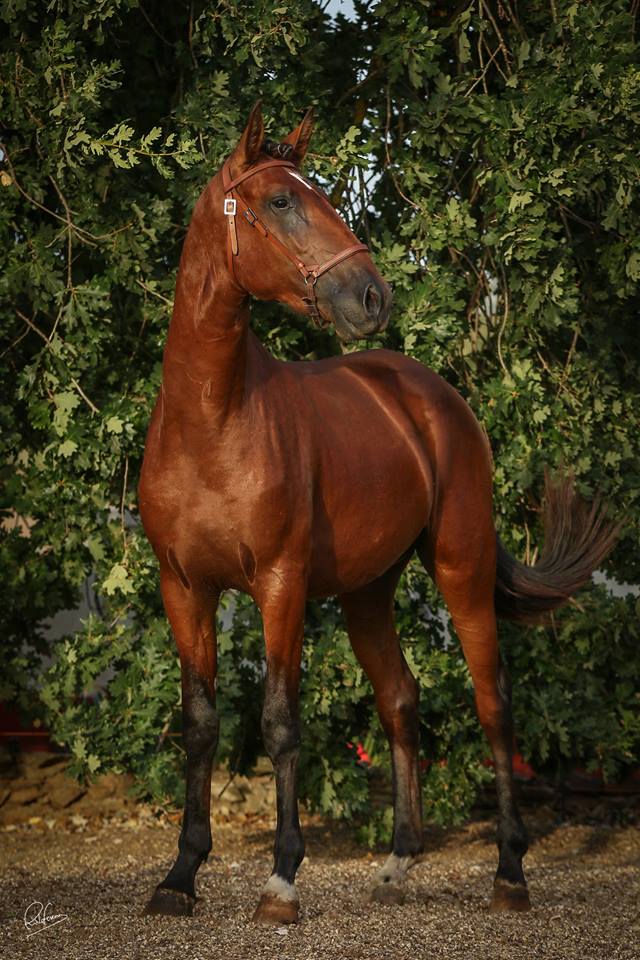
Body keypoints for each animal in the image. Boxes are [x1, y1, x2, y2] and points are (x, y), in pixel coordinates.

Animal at [138, 102, 617, 923]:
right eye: (280, 200)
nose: (372, 297)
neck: (212, 424)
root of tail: (432, 394)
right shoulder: (184, 588)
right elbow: (200, 725)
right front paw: (180, 875)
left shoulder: (280, 585)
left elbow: (280, 722)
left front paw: (281, 882)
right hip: (368, 593)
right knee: (400, 699)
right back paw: (397, 863)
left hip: (461, 567)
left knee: (494, 703)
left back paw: (510, 873)